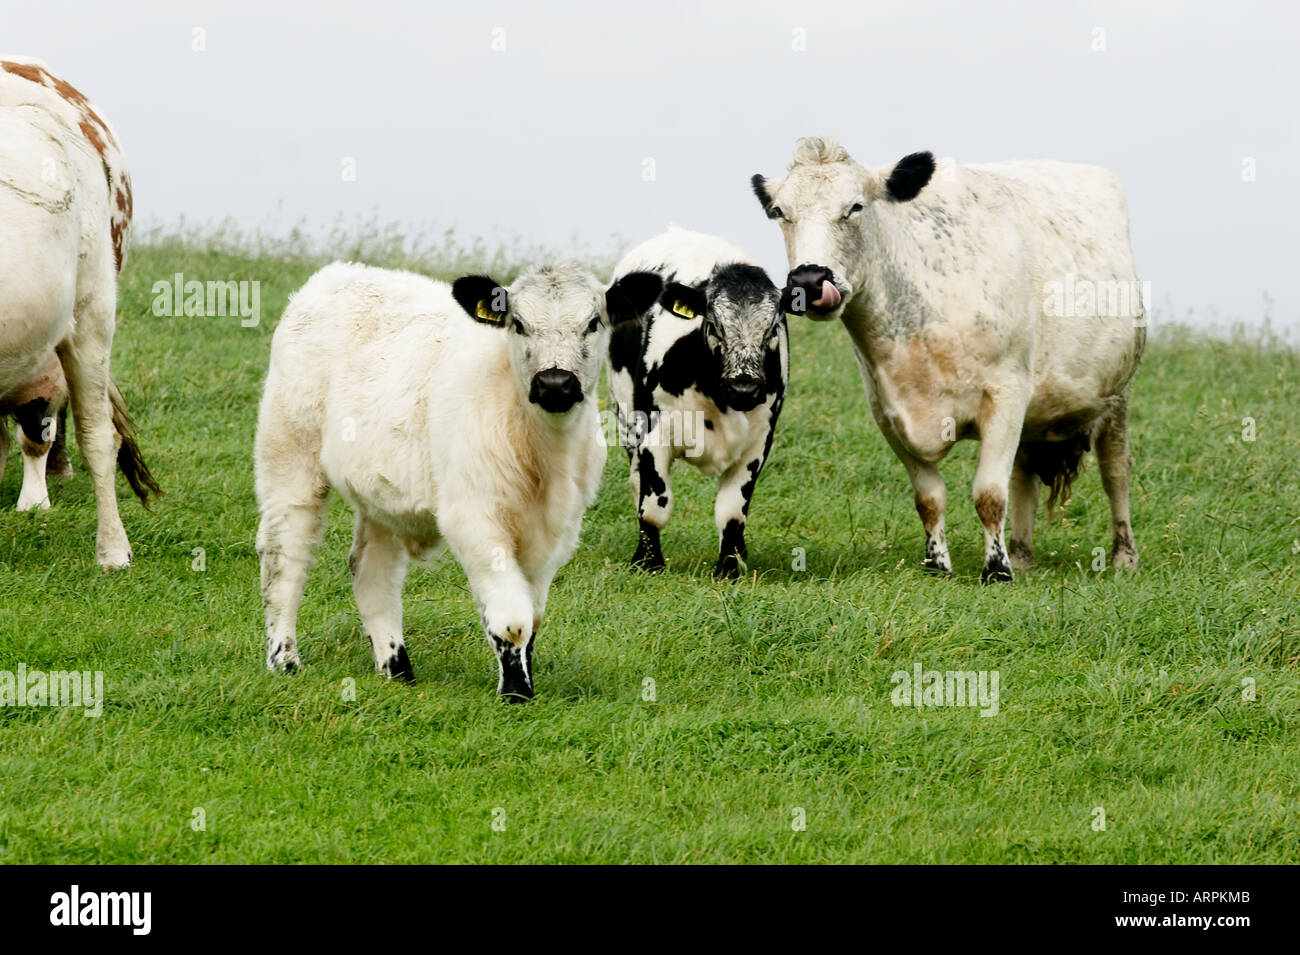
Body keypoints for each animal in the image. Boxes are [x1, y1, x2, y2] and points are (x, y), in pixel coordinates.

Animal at [255, 261, 661, 699]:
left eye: (592, 322)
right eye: (518, 323)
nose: (555, 384)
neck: (543, 459)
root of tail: (337, 273)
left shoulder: (558, 531)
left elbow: (533, 617)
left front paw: (524, 679)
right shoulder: (473, 517)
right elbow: (512, 618)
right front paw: (516, 692)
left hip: (380, 495)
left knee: (371, 571)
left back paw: (397, 670)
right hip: (289, 457)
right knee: (285, 556)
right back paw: (284, 660)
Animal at [607, 226, 789, 578]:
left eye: (772, 328)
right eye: (714, 325)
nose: (744, 388)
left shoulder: (760, 440)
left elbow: (732, 511)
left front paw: (730, 566)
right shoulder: (652, 431)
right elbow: (655, 504)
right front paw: (648, 562)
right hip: (625, 418)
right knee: (637, 482)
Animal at [752, 138, 1144, 582]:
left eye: (855, 206)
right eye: (781, 212)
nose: (809, 281)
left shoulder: (1006, 392)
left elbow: (989, 493)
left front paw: (996, 570)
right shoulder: (885, 409)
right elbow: (929, 497)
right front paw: (938, 564)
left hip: (1117, 396)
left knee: (1116, 473)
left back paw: (1122, 556)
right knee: (1024, 476)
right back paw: (1022, 554)